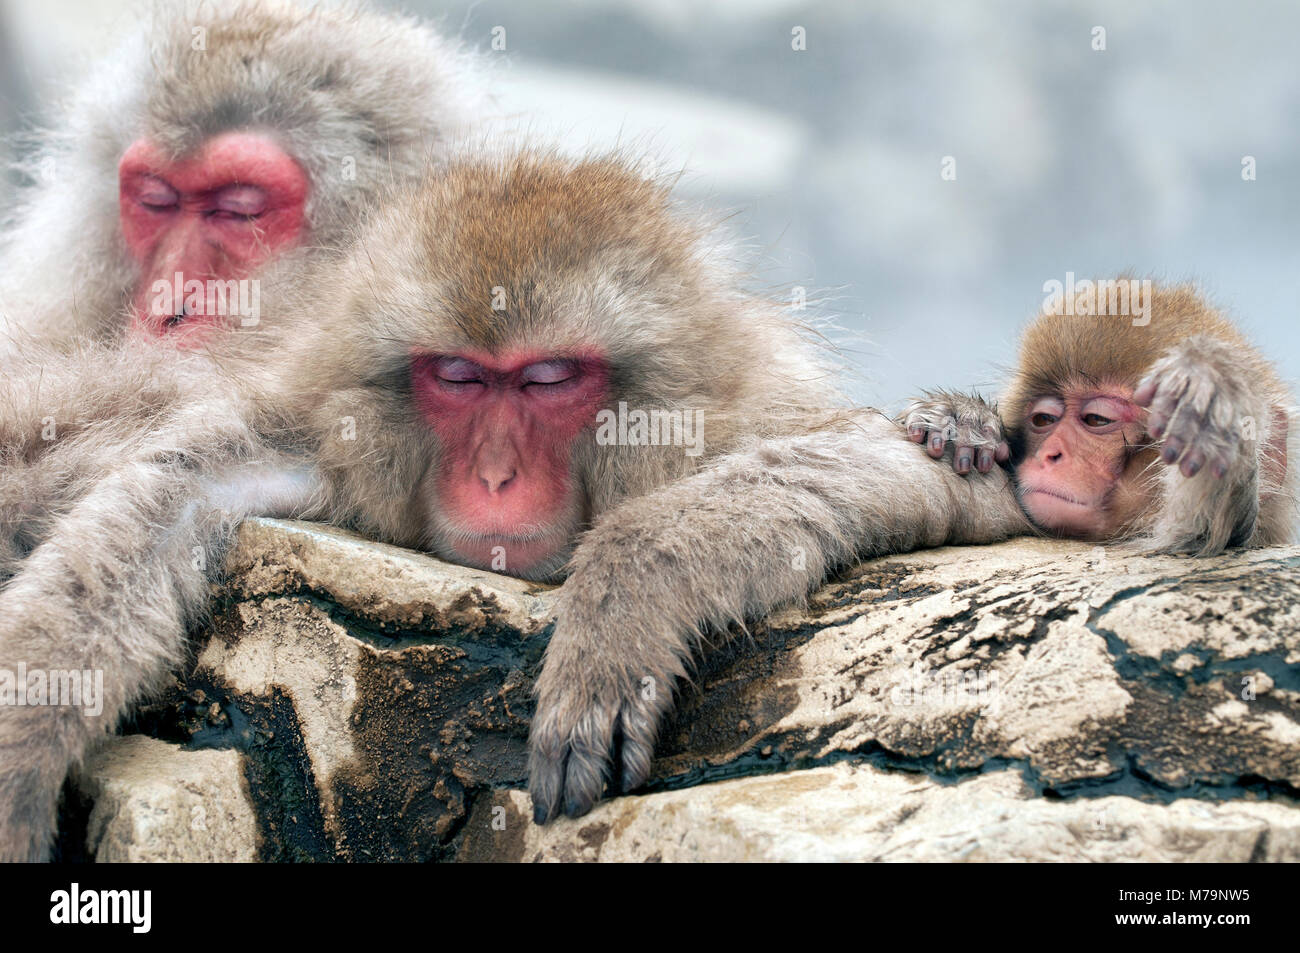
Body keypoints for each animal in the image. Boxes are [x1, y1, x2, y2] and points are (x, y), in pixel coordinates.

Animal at [0, 150, 1032, 858]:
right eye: (458, 377)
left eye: (545, 379)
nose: (494, 477)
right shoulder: (317, 434)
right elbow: (166, 497)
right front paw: (21, 757)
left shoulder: (742, 412)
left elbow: (914, 474)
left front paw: (617, 618)